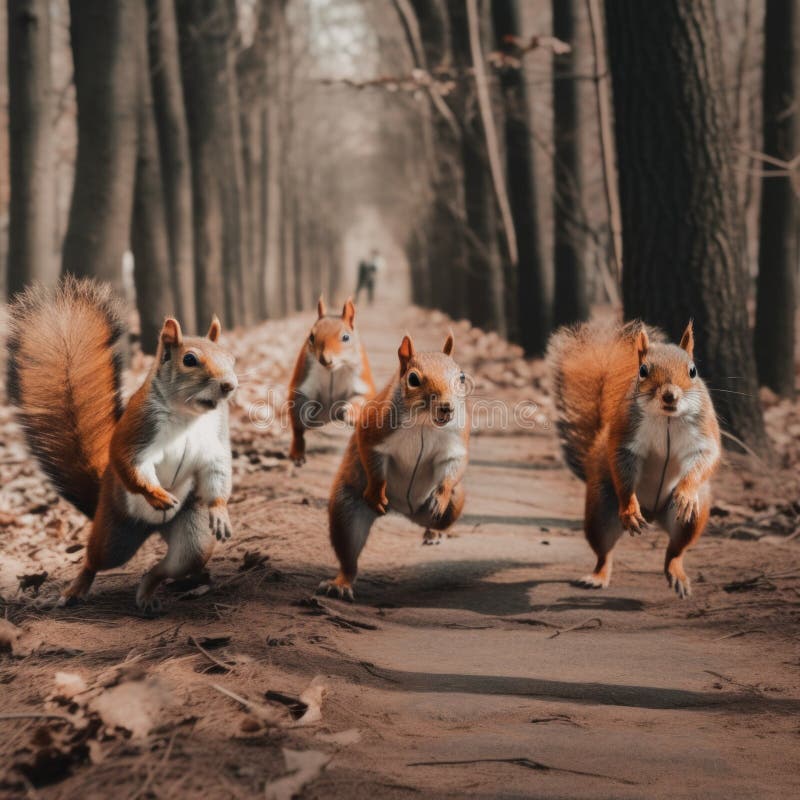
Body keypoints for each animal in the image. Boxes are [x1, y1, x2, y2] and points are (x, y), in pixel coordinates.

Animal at [7, 277, 238, 611]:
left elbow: (217, 470)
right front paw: (157, 494)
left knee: (170, 565)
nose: (229, 385)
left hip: (190, 532)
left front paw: (220, 512)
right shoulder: (137, 430)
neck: (188, 415)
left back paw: (147, 591)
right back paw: (74, 590)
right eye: (190, 359)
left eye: (232, 358)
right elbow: (129, 461)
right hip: (114, 533)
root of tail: (153, 528)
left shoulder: (215, 440)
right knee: (94, 560)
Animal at [288, 296, 375, 465]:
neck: (333, 369)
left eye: (346, 337)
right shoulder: (305, 372)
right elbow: (301, 400)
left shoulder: (361, 376)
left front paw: (351, 413)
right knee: (298, 433)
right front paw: (306, 415)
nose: (325, 359)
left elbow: (360, 396)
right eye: (311, 337)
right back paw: (297, 453)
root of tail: (328, 417)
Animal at [320, 332, 469, 600]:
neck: (424, 422)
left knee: (441, 519)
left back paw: (436, 532)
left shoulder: (456, 439)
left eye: (462, 376)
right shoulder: (374, 430)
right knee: (348, 553)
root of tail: (402, 509)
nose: (447, 407)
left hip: (452, 503)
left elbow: (453, 463)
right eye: (413, 379)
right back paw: (340, 584)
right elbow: (374, 460)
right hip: (347, 507)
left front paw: (440, 496)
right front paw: (376, 491)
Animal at [547, 319, 720, 598]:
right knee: (604, 551)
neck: (667, 419)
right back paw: (597, 576)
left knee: (675, 550)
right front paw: (629, 508)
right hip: (602, 509)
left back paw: (677, 573)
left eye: (693, 371)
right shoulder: (625, 437)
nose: (670, 395)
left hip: (692, 517)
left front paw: (685, 492)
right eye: (643, 370)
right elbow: (622, 465)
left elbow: (707, 455)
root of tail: (652, 514)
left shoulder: (705, 430)